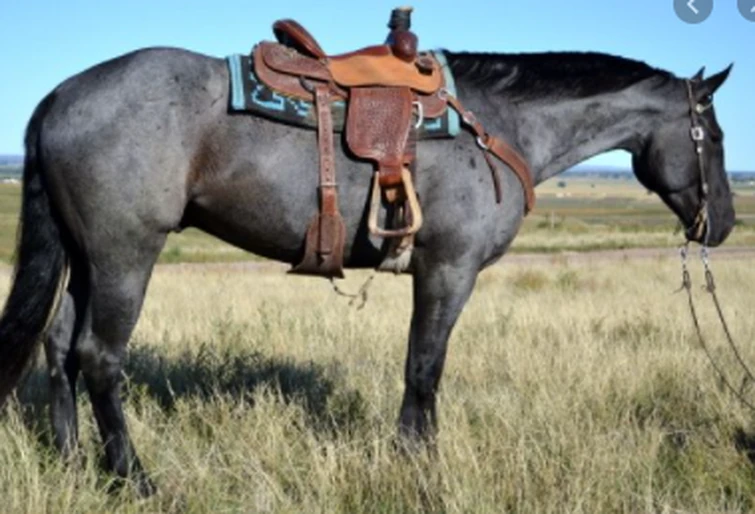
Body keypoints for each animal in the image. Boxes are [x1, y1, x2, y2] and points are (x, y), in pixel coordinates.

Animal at [0, 42, 734, 495]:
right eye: (718, 138)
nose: (722, 224)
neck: (497, 128)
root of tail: (62, 93)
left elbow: (422, 368)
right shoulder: (447, 270)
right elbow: (424, 368)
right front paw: (418, 464)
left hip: (86, 257)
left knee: (60, 348)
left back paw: (72, 462)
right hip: (125, 256)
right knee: (99, 356)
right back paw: (135, 479)